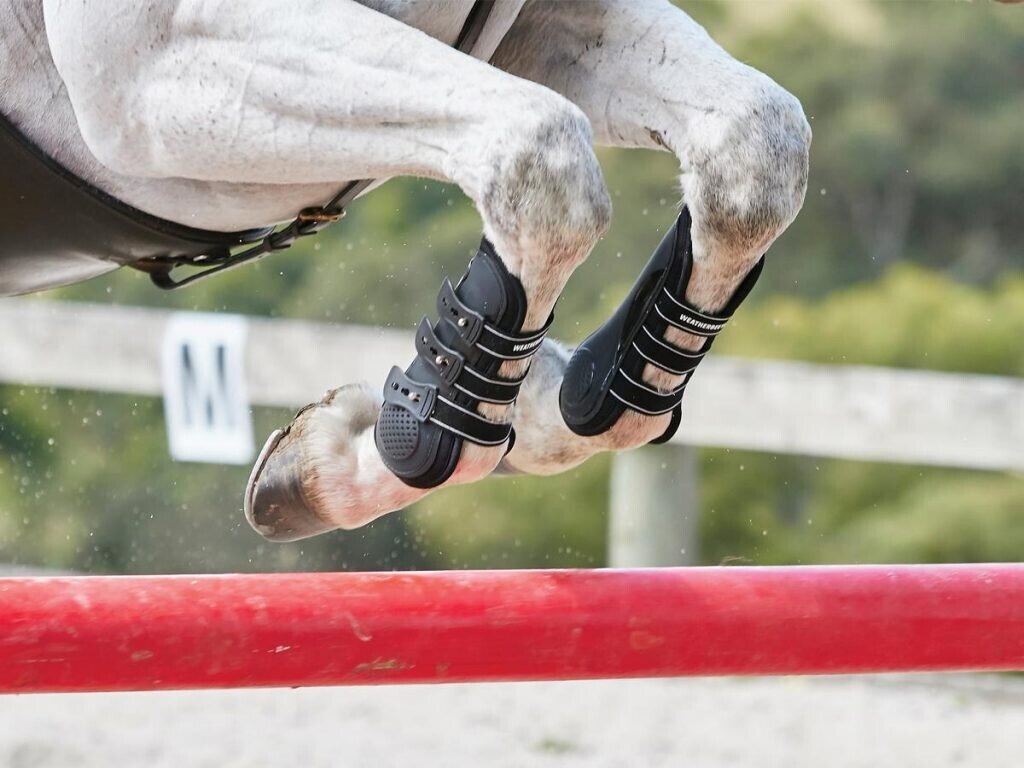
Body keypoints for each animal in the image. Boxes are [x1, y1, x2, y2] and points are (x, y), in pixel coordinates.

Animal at [1, 0, 811, 540]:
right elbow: (543, 161)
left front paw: (563, 393)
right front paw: (385, 447)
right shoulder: (156, 58)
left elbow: (755, 149)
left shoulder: (538, 25)